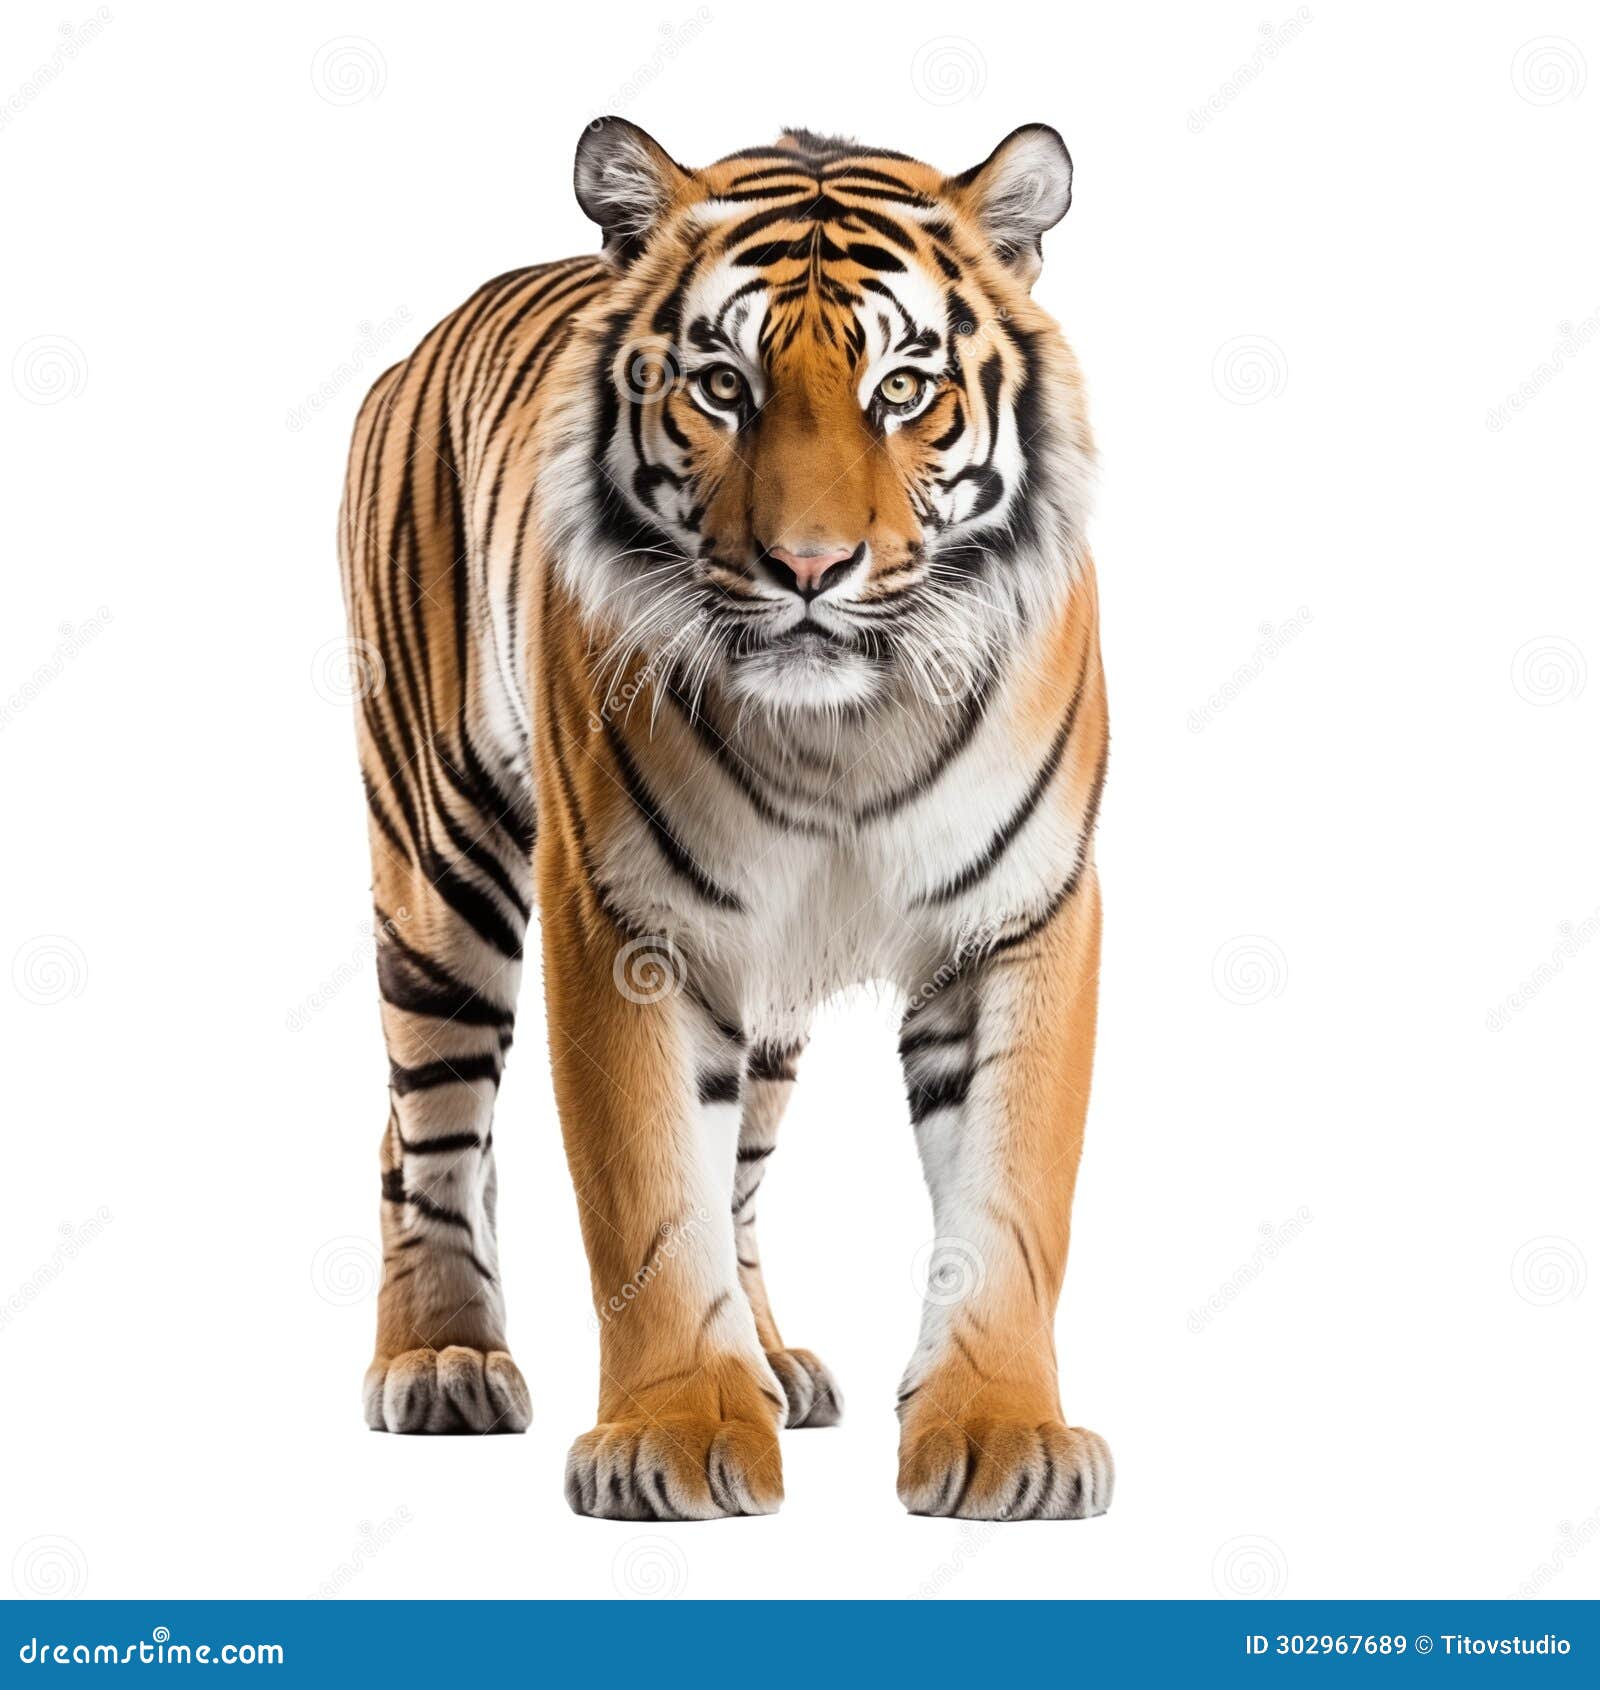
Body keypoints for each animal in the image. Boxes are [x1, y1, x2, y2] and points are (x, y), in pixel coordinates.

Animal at [339, 118, 1112, 1523]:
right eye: (720, 385)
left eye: (902, 389)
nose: (808, 567)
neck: (845, 732)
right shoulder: (625, 924)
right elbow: (649, 1199)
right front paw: (676, 1433)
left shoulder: (1019, 918)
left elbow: (1009, 1200)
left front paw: (1003, 1433)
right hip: (439, 862)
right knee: (424, 1124)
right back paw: (441, 1357)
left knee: (739, 1168)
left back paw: (774, 1360)